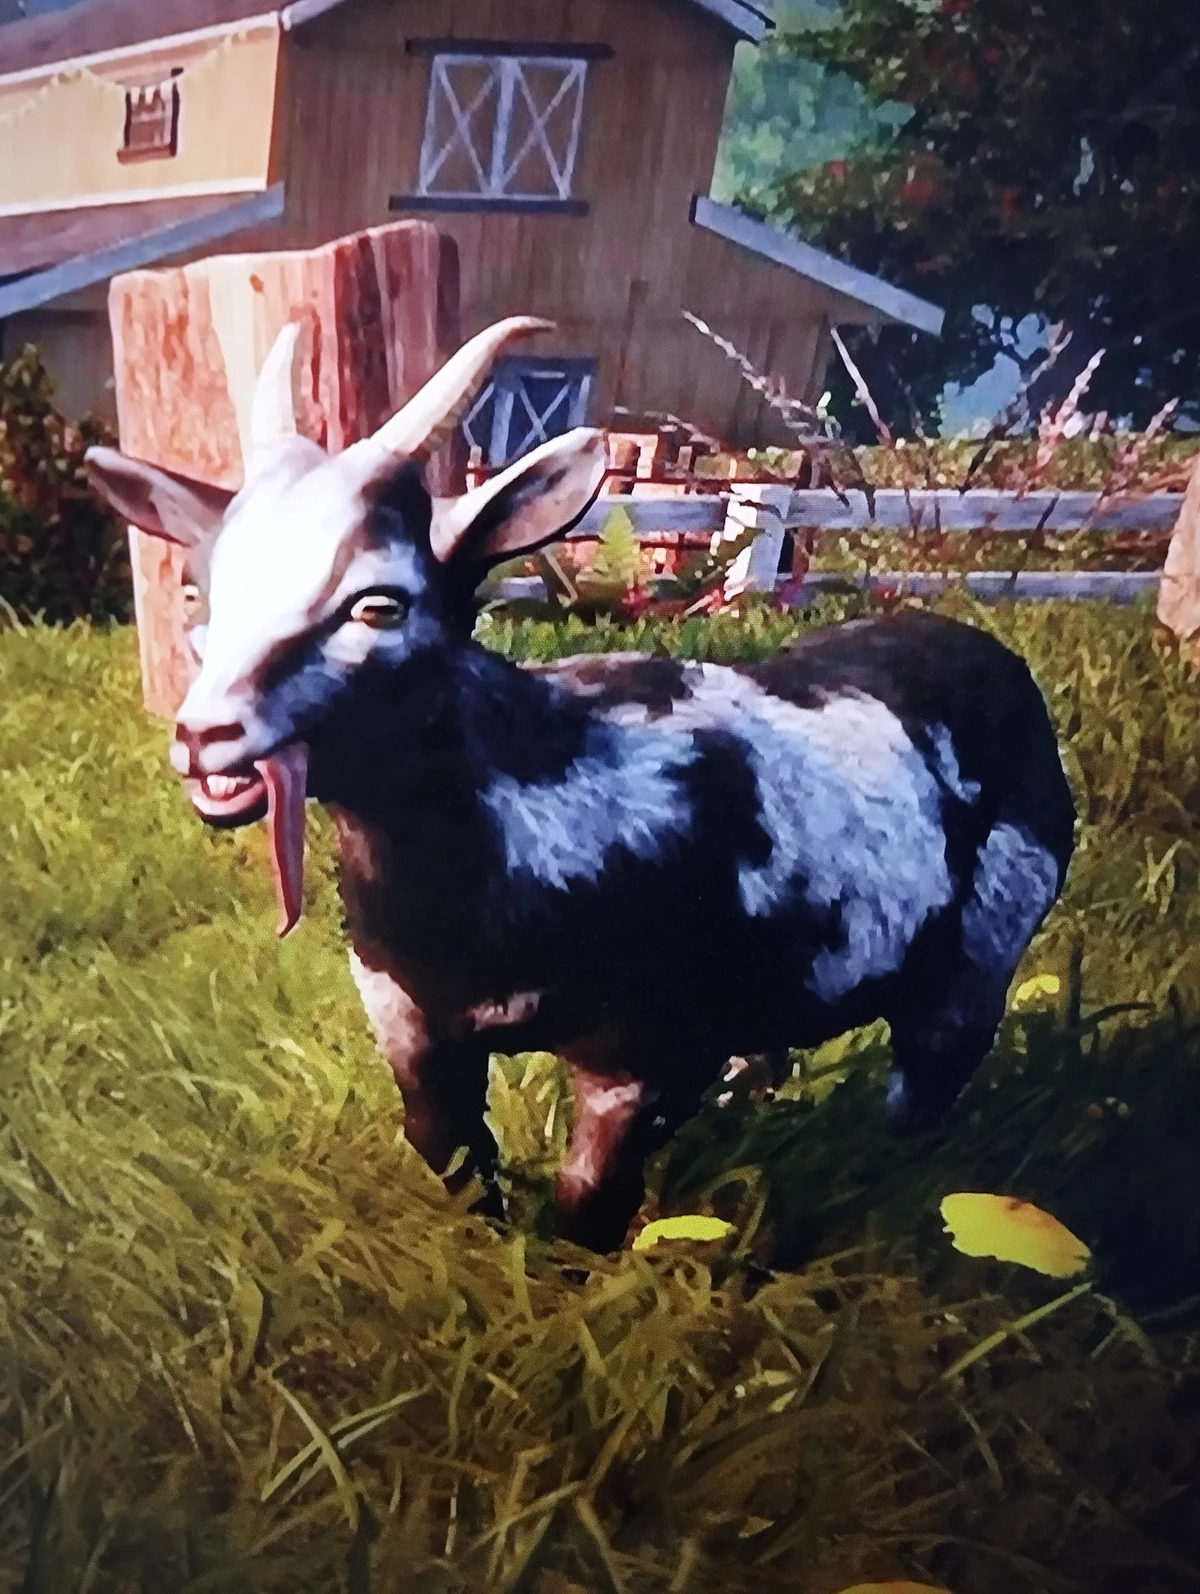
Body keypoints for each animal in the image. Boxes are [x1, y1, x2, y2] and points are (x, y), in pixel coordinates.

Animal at [85, 316, 1076, 1254]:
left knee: (928, 1081)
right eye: (194, 593)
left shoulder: (641, 1042)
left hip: (988, 941)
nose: (206, 740)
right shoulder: (406, 1013)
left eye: (380, 604)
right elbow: (450, 1152)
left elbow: (587, 1202)